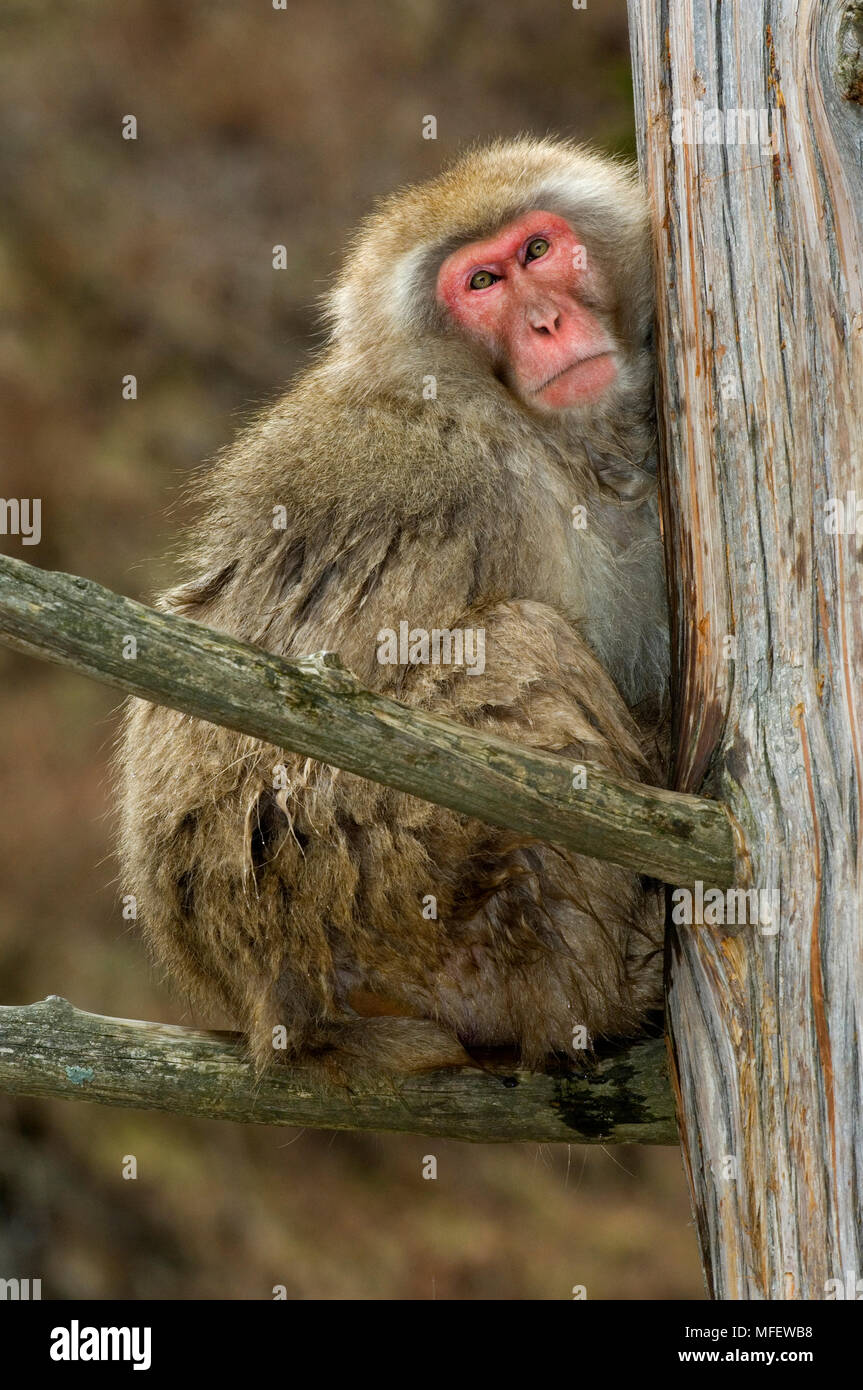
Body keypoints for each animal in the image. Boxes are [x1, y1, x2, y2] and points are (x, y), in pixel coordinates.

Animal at [117, 136, 669, 1083]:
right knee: (522, 648)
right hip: (347, 879)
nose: (546, 324)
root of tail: (270, 1008)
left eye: (536, 251)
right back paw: (597, 1001)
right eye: (480, 284)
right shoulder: (442, 477)